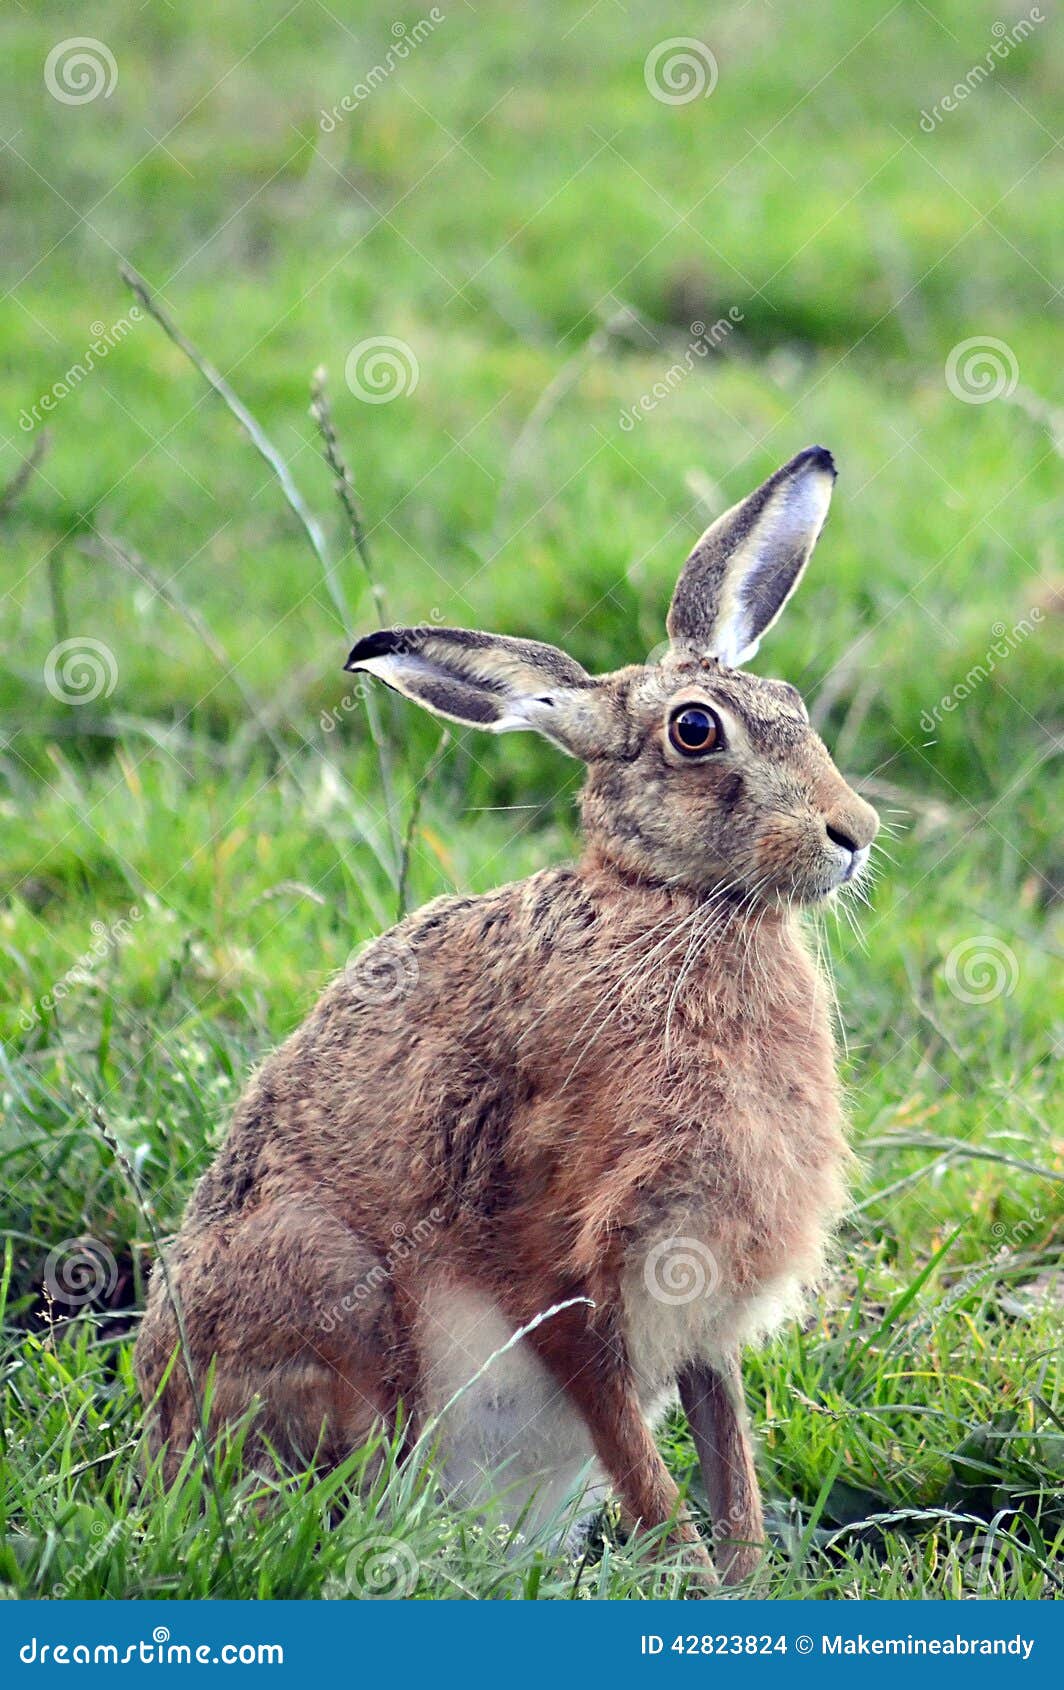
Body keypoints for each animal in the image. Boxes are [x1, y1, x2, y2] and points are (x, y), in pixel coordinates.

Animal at [135, 444, 878, 1586]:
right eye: (694, 731)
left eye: (793, 700)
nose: (855, 831)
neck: (671, 905)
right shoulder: (559, 1263)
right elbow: (645, 1468)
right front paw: (693, 1581)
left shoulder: (705, 1307)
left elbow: (729, 1462)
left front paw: (747, 1582)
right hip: (330, 1296)